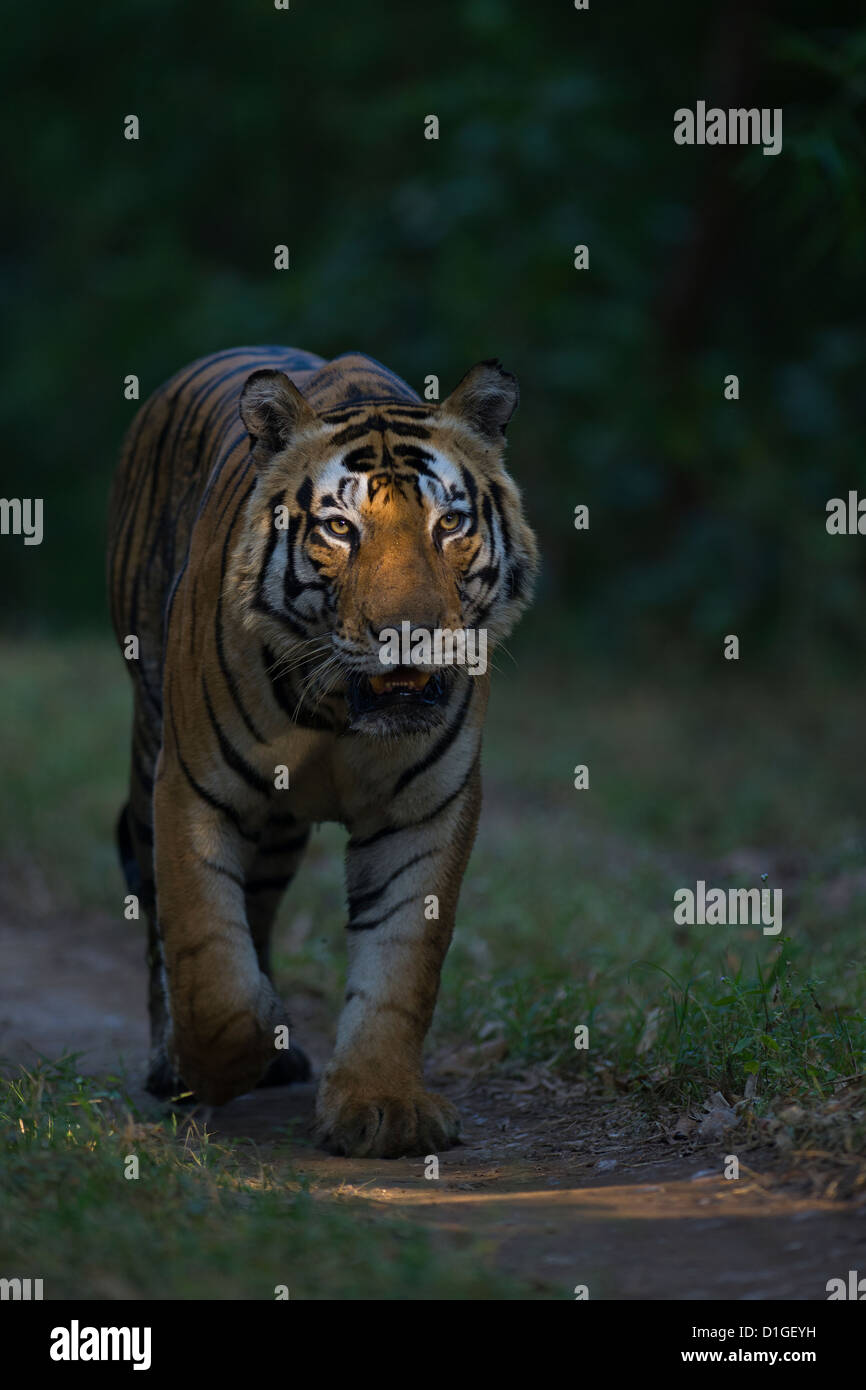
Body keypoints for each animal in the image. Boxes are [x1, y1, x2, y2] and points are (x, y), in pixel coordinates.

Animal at [107, 345, 538, 1157]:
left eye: (449, 523)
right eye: (340, 528)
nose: (409, 634)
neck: (342, 711)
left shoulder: (424, 810)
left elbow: (402, 965)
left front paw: (382, 1104)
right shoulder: (193, 788)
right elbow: (206, 959)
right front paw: (216, 1063)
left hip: (275, 831)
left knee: (258, 907)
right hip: (151, 744)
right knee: (158, 921)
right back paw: (171, 1059)